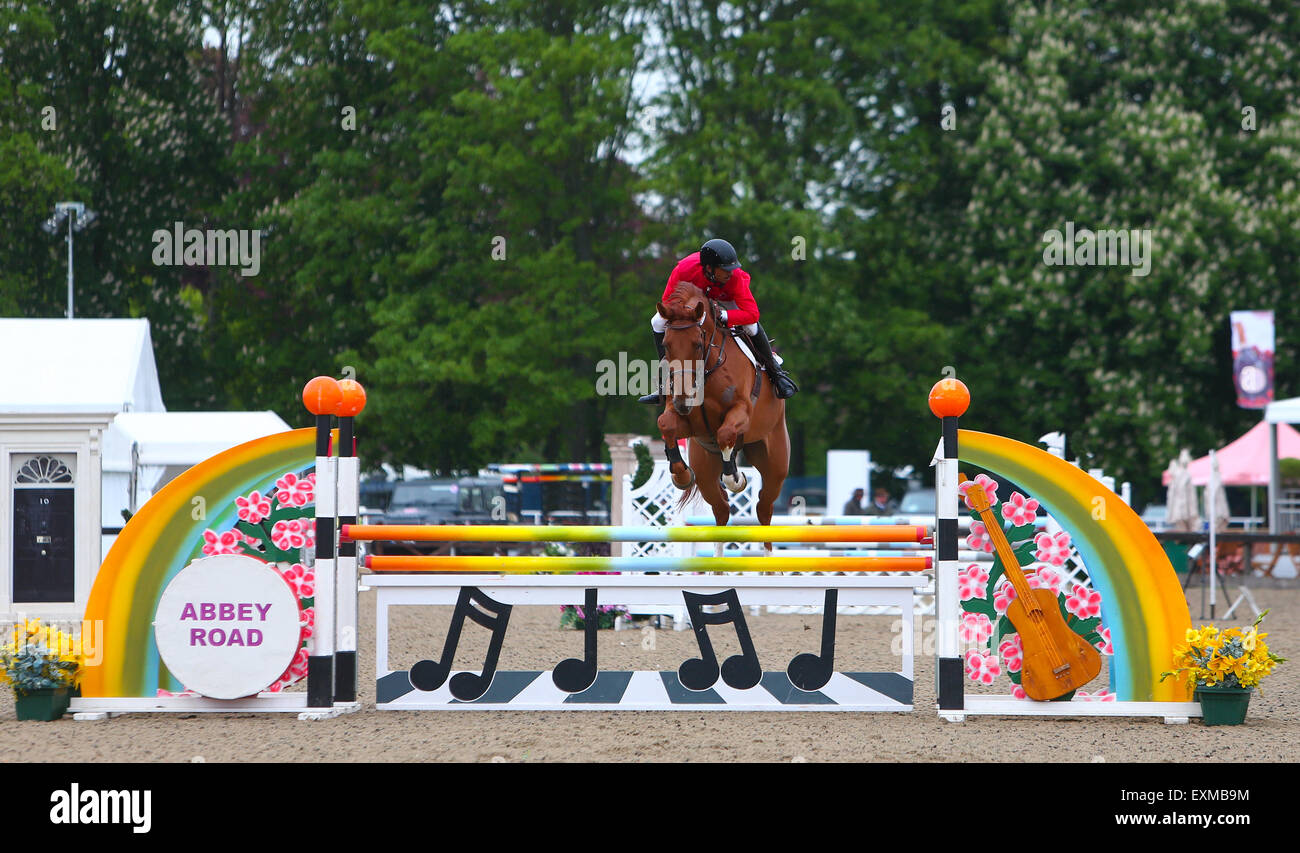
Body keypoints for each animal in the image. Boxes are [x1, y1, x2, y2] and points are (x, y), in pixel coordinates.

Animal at [654, 282, 790, 547]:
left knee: (764, 509)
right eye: (665, 344)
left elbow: (726, 432)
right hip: (706, 470)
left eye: (697, 343)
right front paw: (681, 474)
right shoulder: (688, 422)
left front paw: (735, 479)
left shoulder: (742, 413)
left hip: (775, 464)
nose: (684, 398)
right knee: (721, 509)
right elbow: (665, 424)